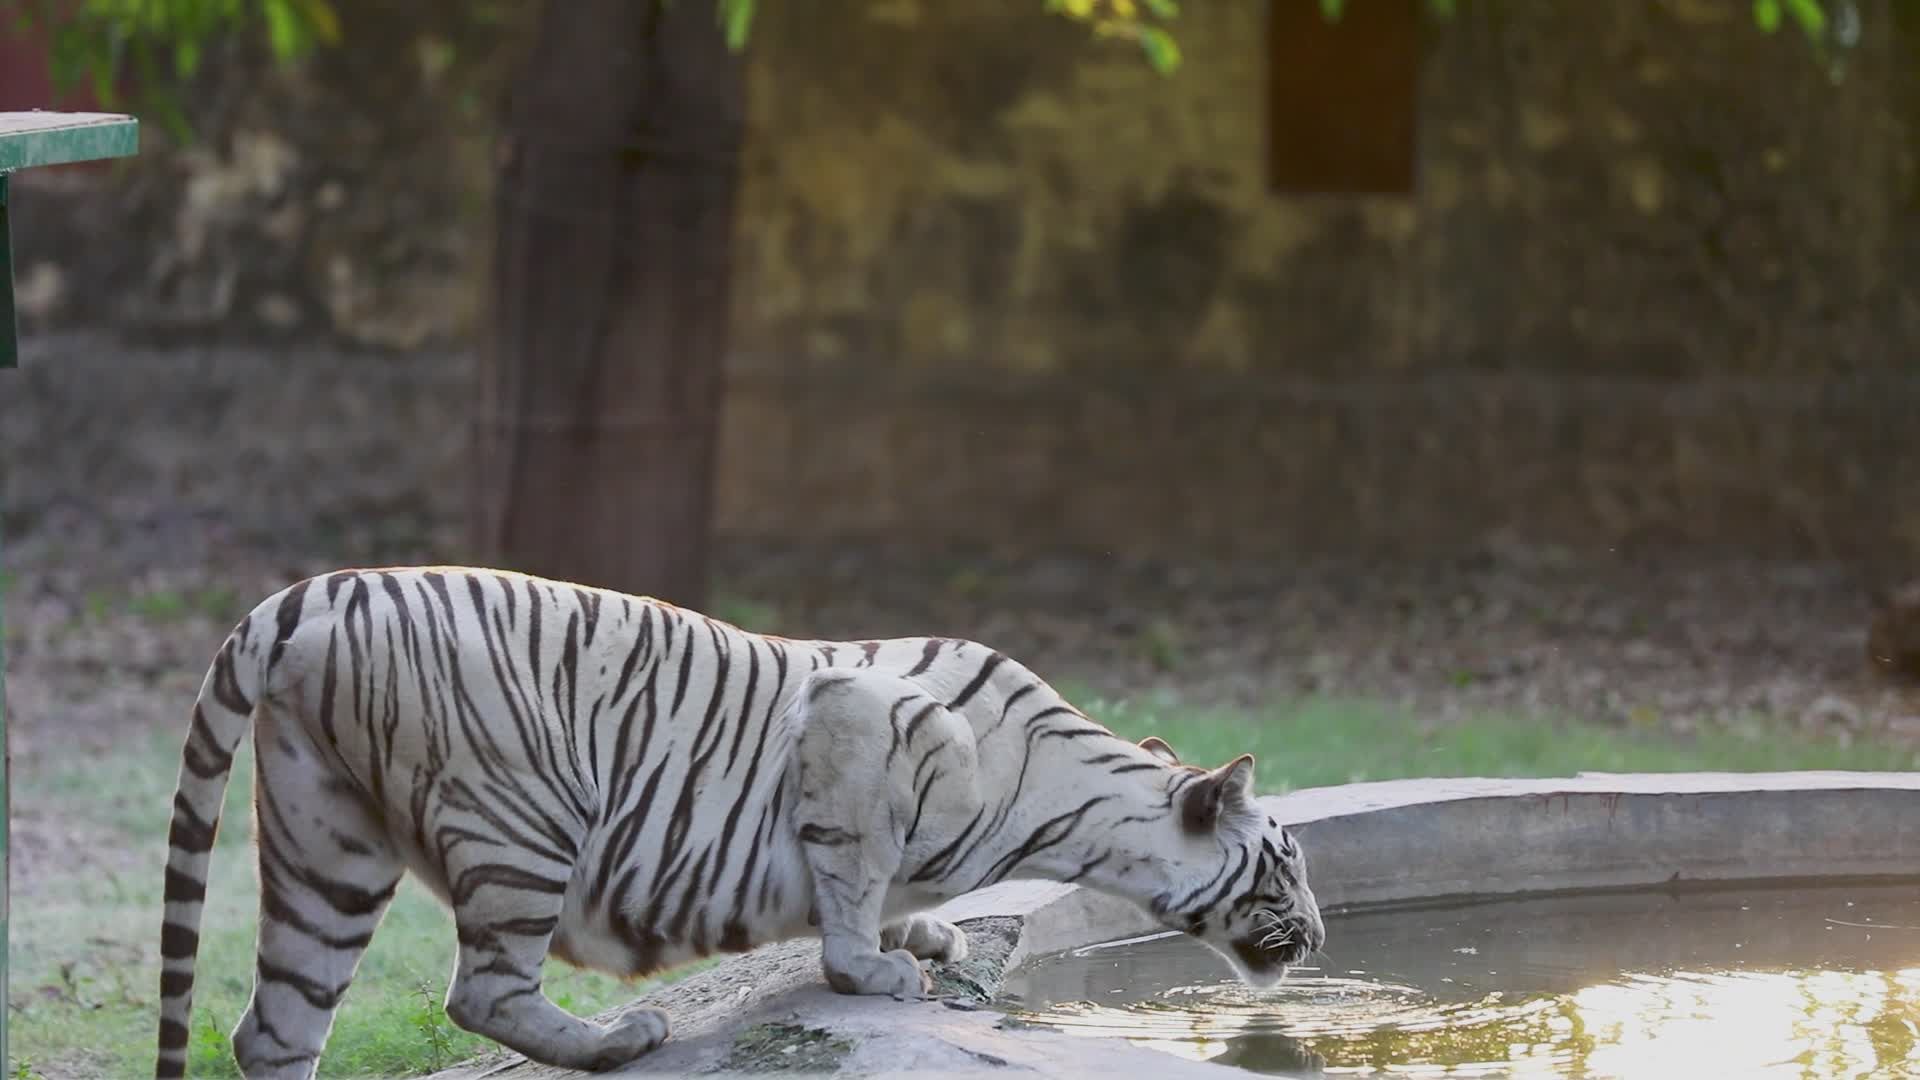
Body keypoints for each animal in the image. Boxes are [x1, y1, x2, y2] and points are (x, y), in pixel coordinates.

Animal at [153, 567, 1325, 1078]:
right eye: (1285, 863)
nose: (1319, 939)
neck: (1065, 803)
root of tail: (309, 594)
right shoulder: (862, 728)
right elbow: (852, 885)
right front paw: (877, 971)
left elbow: (895, 897)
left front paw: (930, 938)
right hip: (522, 816)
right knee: (483, 990)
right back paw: (619, 1040)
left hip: (326, 840)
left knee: (275, 1030)